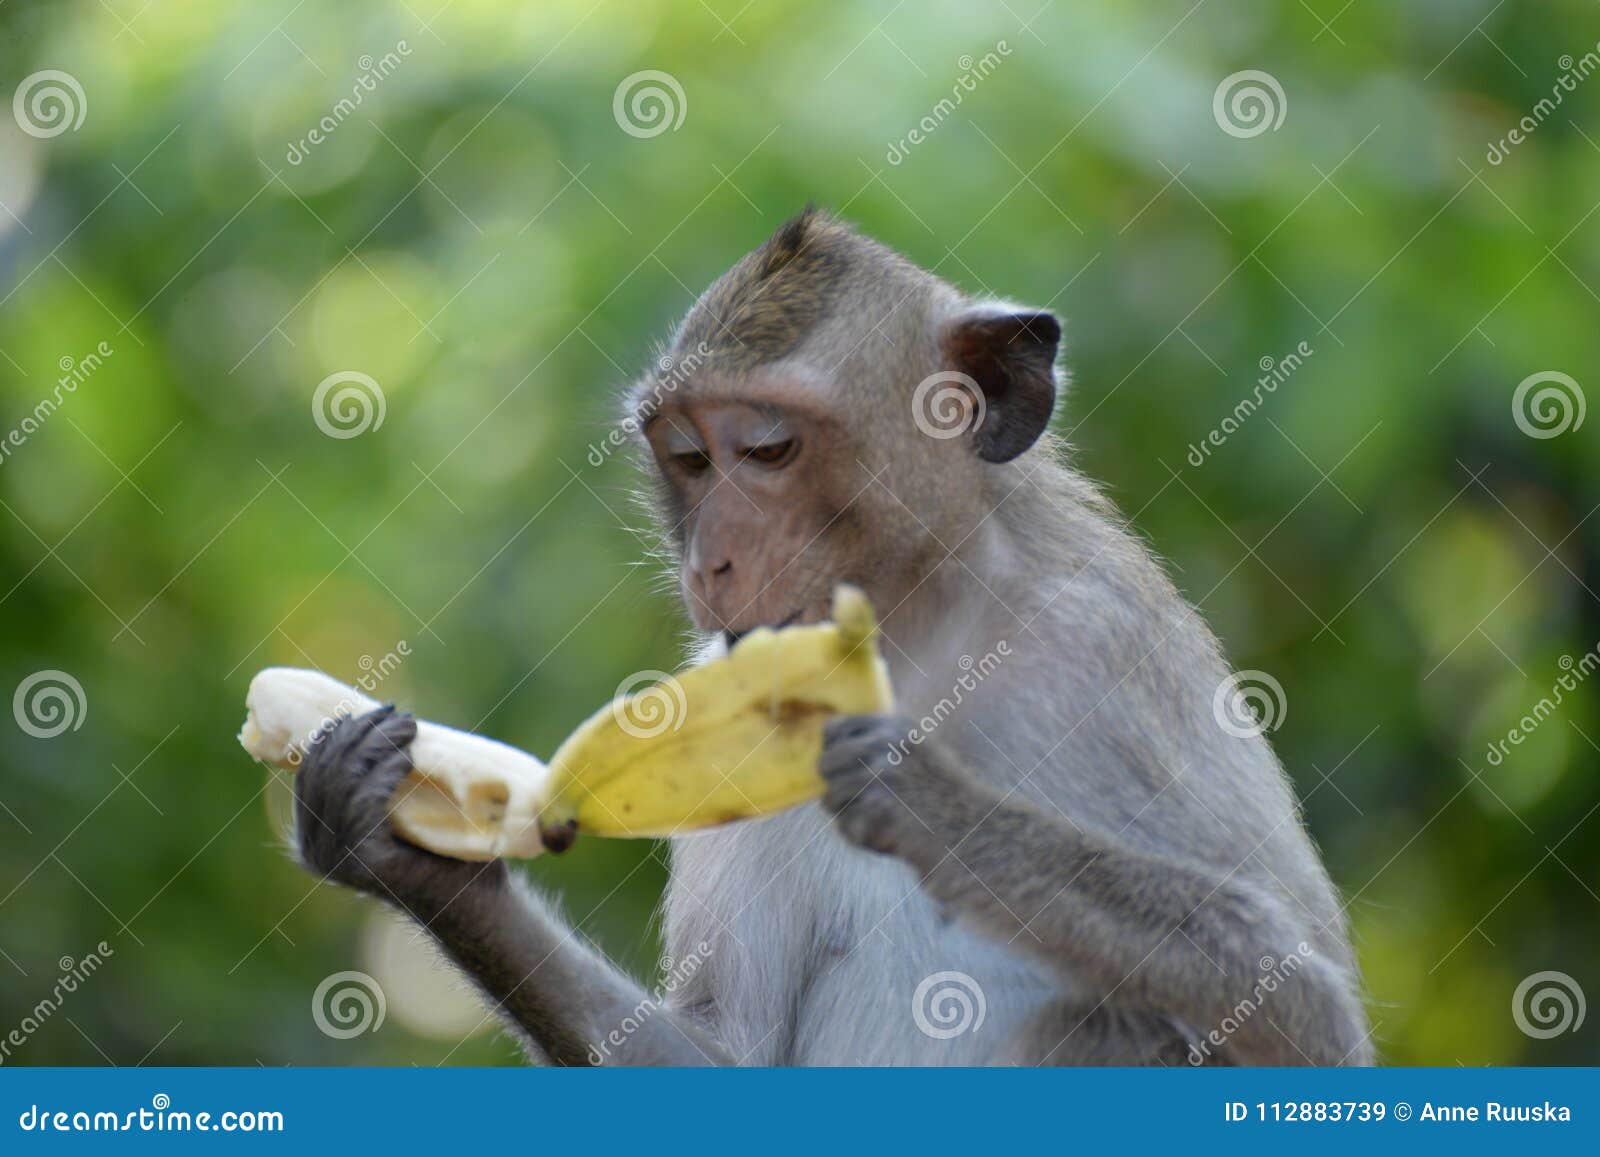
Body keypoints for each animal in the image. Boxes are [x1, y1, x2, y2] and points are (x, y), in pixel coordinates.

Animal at [292, 208, 1372, 1066]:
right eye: (687, 456)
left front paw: (939, 808)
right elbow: (724, 1051)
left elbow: (1309, 1012)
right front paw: (413, 859)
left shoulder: (1105, 645)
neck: (916, 636)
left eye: (767, 448)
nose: (711, 562)